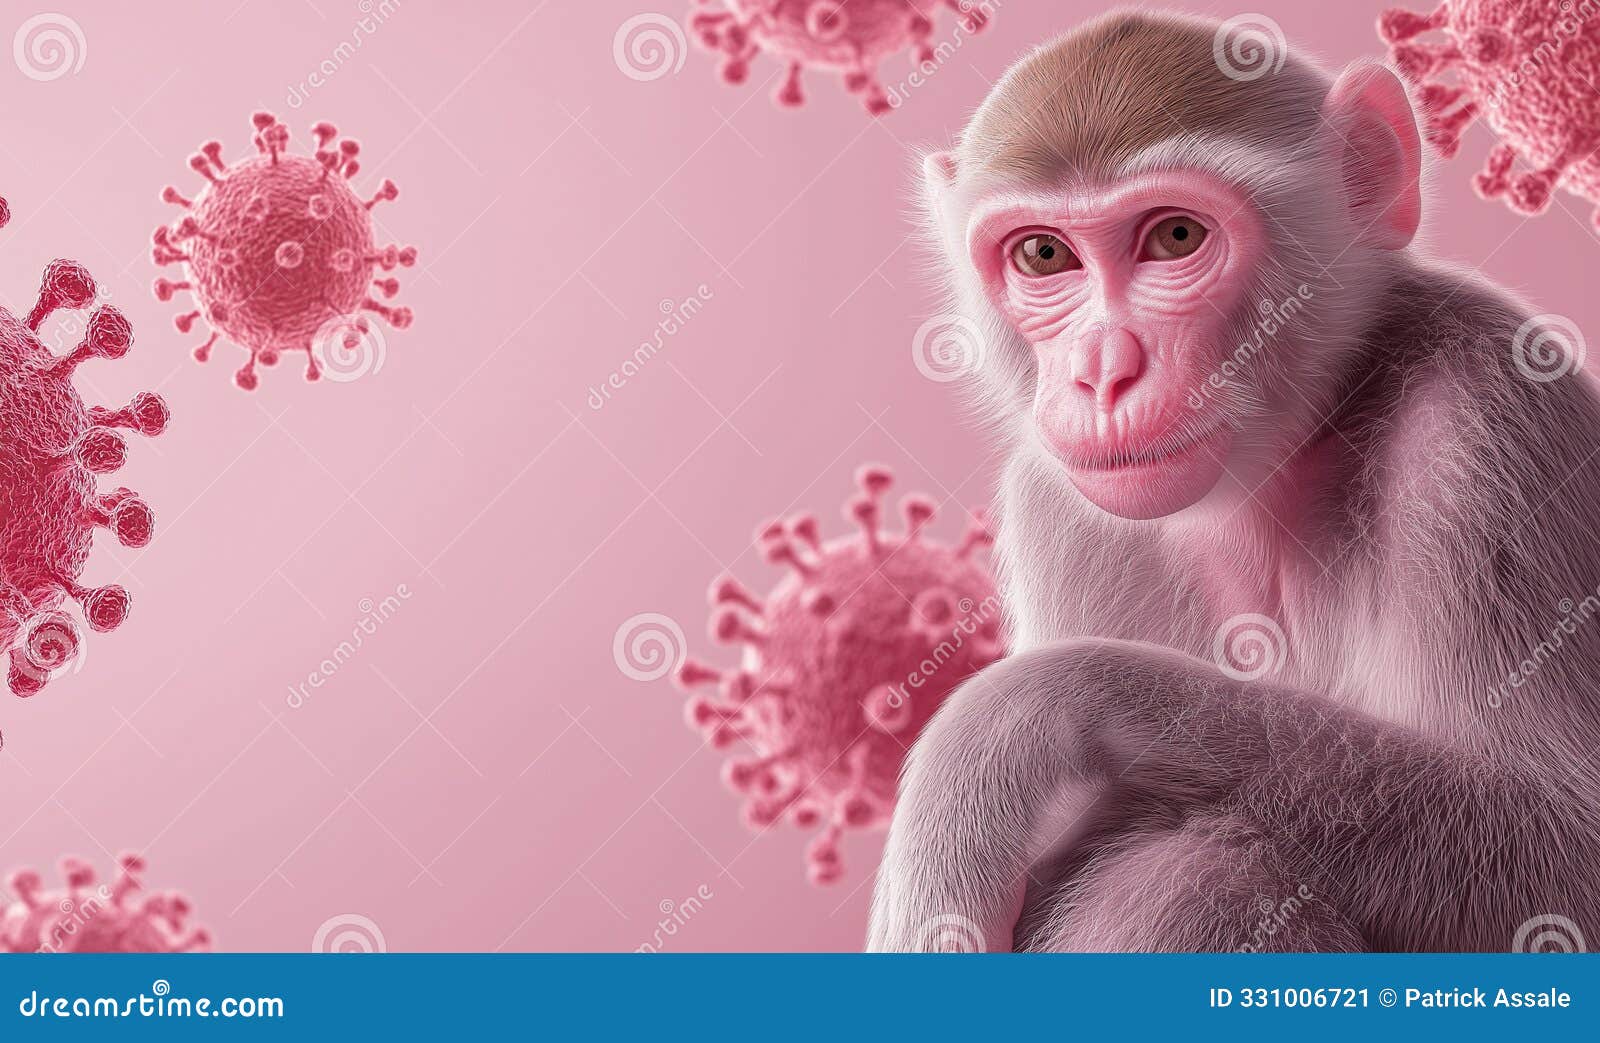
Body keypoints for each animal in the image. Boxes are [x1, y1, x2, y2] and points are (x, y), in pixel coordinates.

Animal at [866, 10, 1600, 953]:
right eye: (1043, 254)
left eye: (1176, 237)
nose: (1101, 373)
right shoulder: (1058, 511)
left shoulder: (1487, 422)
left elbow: (1564, 846)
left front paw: (1000, 734)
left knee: (1202, 865)